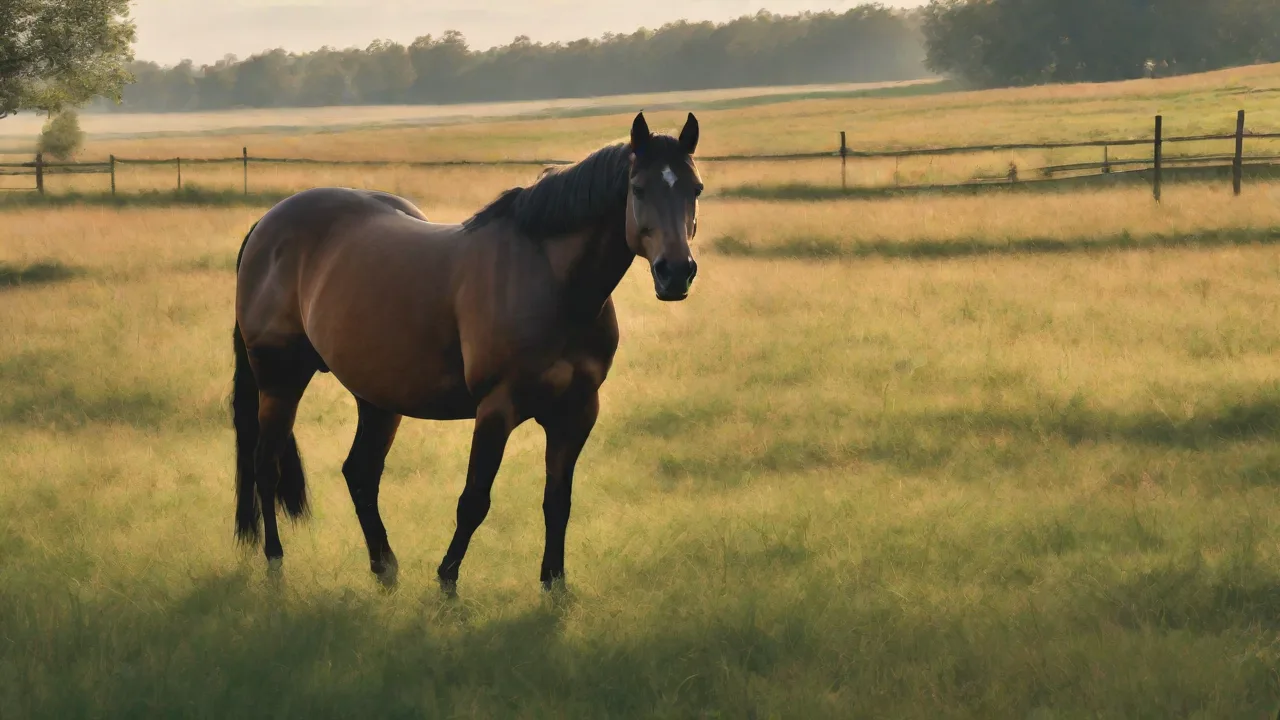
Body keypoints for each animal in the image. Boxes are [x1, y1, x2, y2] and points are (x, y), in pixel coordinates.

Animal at [230, 111, 704, 592]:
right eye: (638, 188)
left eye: (695, 189)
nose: (675, 273)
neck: (551, 280)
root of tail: (266, 226)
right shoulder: (497, 408)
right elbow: (474, 499)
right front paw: (447, 582)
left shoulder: (576, 412)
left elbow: (558, 502)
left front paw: (554, 585)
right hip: (280, 381)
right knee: (266, 466)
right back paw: (275, 562)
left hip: (378, 398)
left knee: (360, 472)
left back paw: (385, 569)